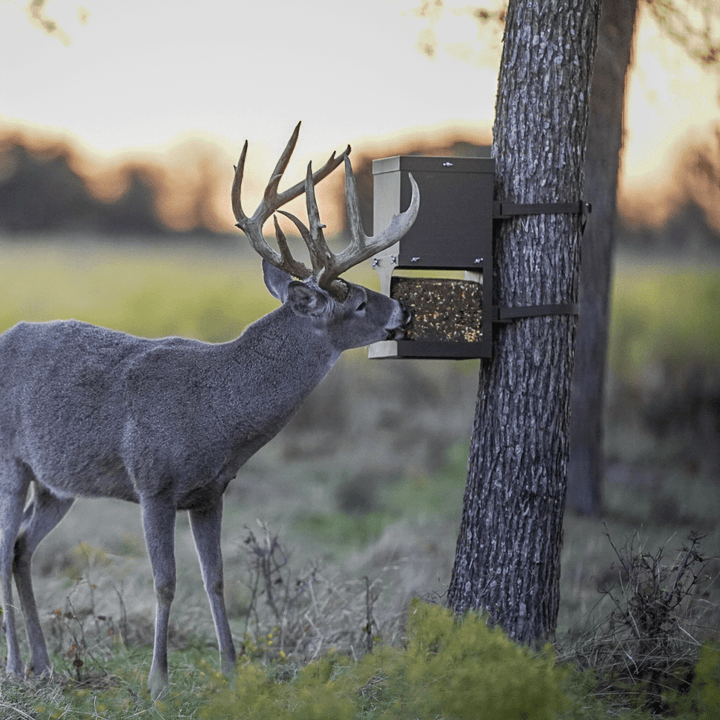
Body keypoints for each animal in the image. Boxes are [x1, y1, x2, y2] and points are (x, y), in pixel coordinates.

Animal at [0, 122, 419, 698]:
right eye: (355, 301)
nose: (405, 310)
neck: (214, 413)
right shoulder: (153, 483)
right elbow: (165, 581)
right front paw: (158, 681)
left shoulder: (210, 492)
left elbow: (215, 578)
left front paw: (231, 670)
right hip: (10, 461)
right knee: (2, 551)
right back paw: (17, 664)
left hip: (57, 484)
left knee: (22, 547)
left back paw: (42, 663)